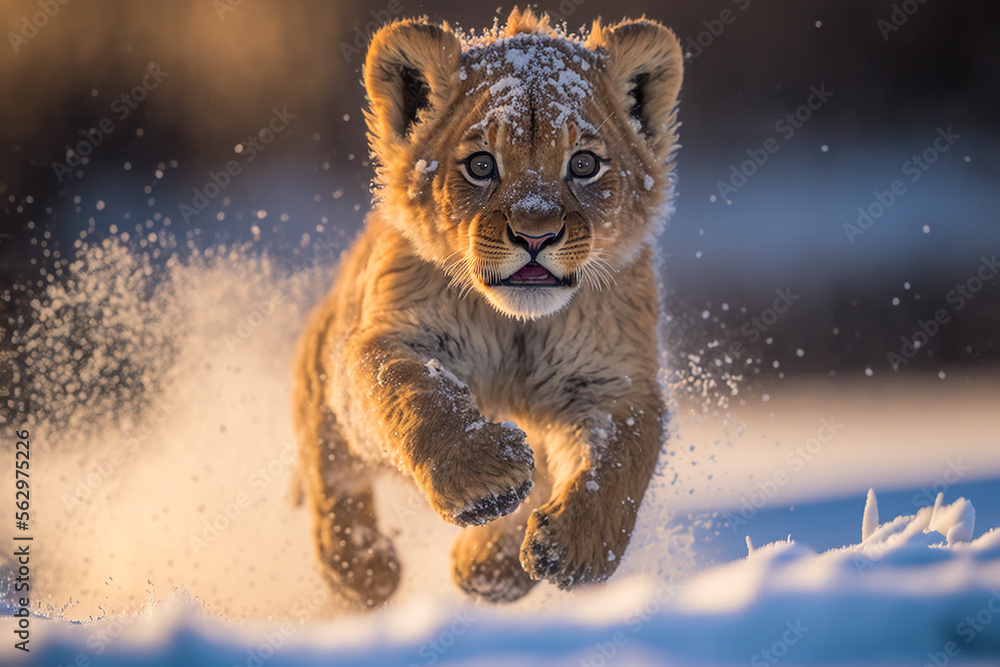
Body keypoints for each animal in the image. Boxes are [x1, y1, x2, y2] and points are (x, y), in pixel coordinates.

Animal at [293, 8, 683, 607]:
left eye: (584, 165)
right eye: (481, 165)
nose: (535, 236)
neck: (517, 327)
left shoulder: (611, 381)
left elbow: (619, 463)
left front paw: (571, 550)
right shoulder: (385, 338)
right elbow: (413, 395)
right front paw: (482, 479)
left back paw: (489, 566)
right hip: (323, 363)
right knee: (328, 466)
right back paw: (363, 568)